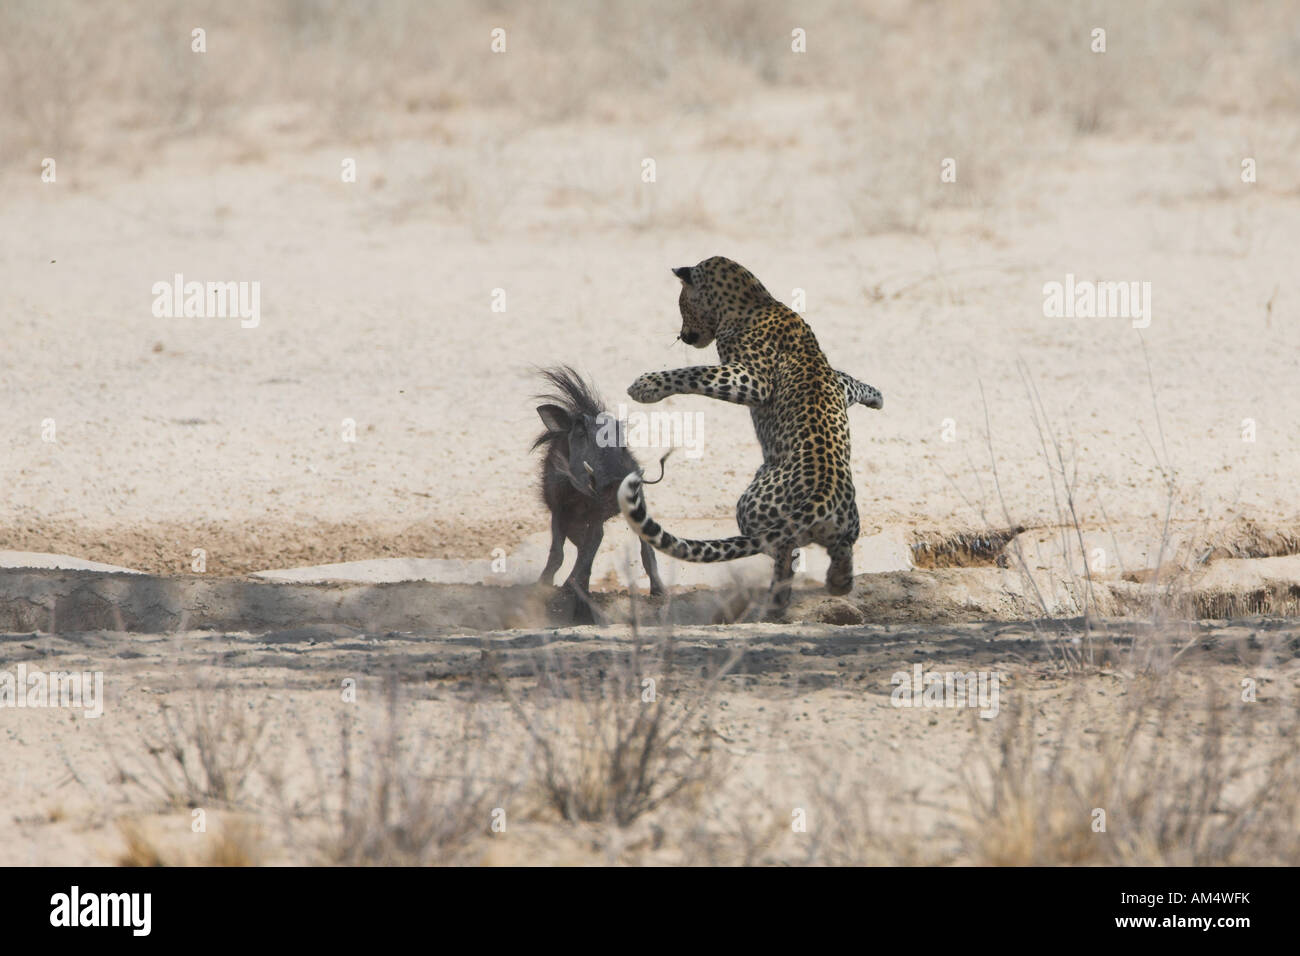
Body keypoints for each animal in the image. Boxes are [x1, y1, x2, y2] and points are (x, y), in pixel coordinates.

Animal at [618, 255, 879, 614]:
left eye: (682, 304)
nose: (683, 336)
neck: (756, 300)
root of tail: (821, 497)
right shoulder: (837, 382)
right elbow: (852, 381)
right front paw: (877, 398)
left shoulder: (751, 379)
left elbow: (693, 373)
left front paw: (647, 386)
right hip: (846, 527)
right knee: (839, 553)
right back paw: (832, 586)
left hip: (749, 504)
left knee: (782, 550)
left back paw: (777, 600)